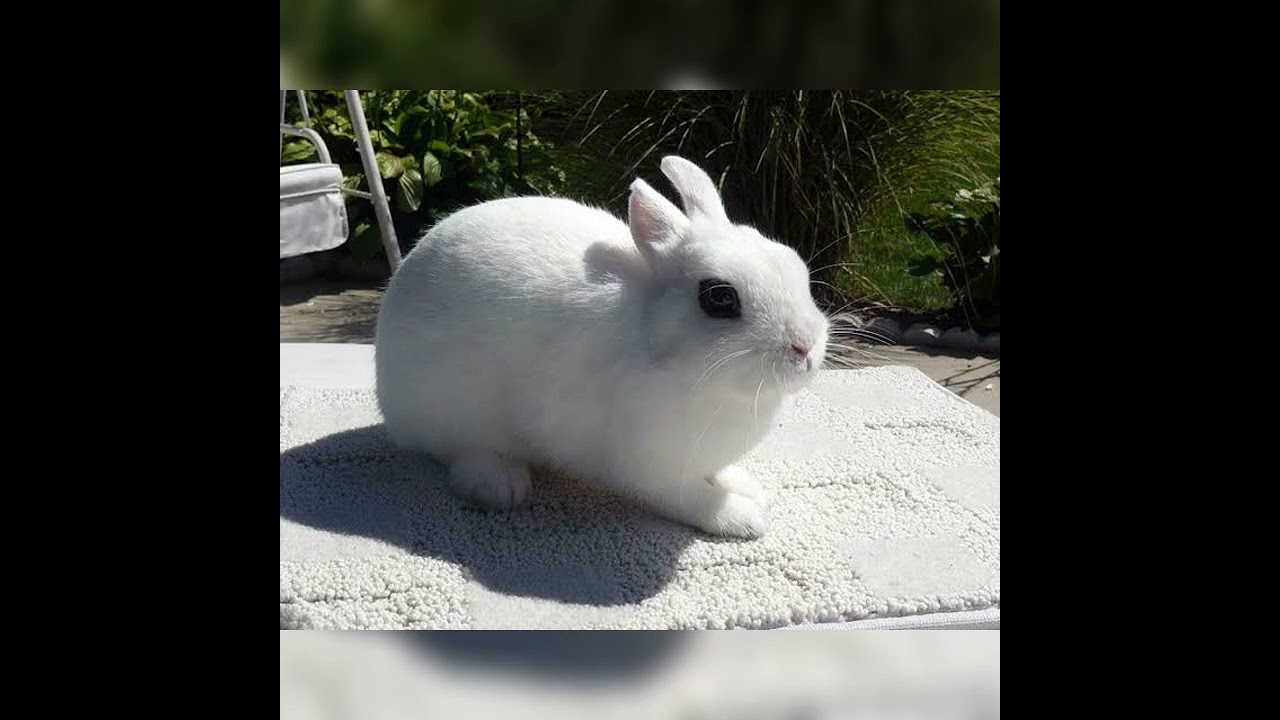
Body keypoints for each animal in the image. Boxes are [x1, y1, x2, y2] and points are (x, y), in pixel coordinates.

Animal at [374, 155, 829, 538]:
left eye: (792, 263)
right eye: (719, 298)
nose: (804, 347)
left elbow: (718, 474)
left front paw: (745, 485)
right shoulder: (652, 467)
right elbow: (690, 498)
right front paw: (743, 517)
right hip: (453, 411)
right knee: (459, 451)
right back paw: (499, 483)